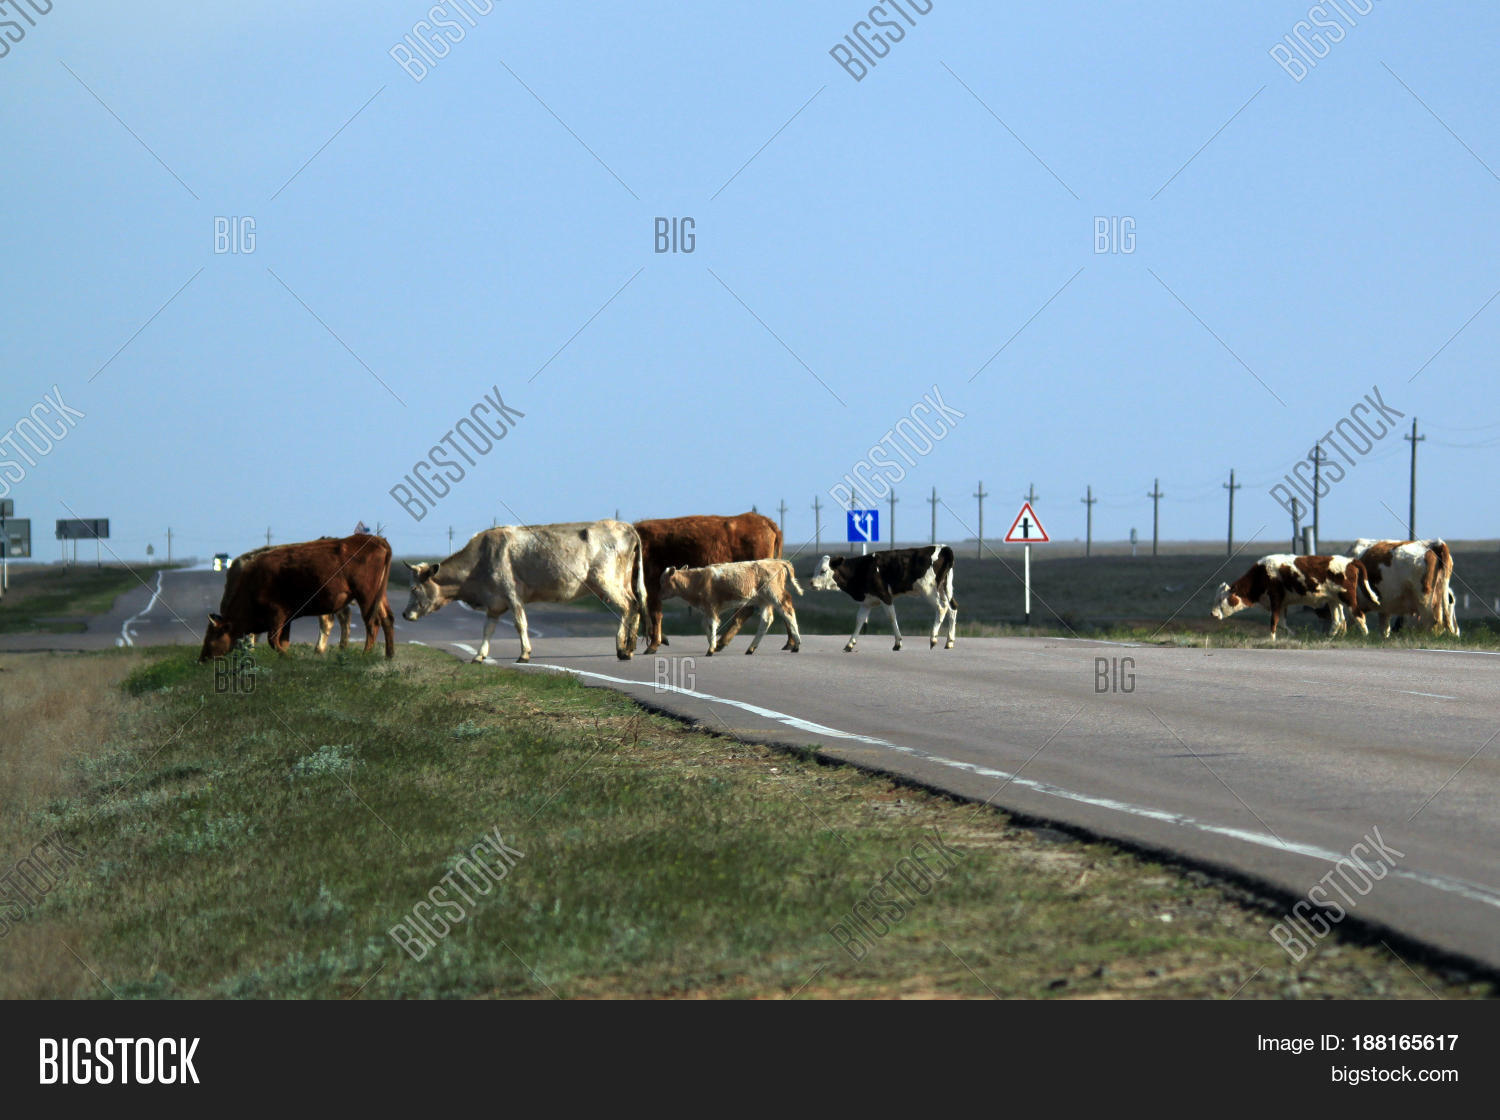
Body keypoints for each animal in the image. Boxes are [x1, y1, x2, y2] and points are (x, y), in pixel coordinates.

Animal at [201, 533, 395, 661]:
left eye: (212, 635)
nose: (202, 659)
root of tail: (376, 540)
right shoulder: (286, 618)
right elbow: (282, 640)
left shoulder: (276, 614)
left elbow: (274, 641)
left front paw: (288, 657)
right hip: (379, 596)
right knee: (387, 619)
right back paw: (389, 655)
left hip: (366, 596)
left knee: (372, 623)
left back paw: (365, 655)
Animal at [401, 519, 646, 663]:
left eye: (414, 588)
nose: (404, 614)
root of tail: (626, 526)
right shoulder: (494, 603)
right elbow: (487, 629)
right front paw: (479, 655)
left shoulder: (512, 595)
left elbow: (520, 624)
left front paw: (524, 654)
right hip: (623, 581)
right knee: (635, 605)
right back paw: (629, 649)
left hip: (607, 580)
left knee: (628, 606)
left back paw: (622, 649)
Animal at [660, 560, 803, 656]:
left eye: (663, 581)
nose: (659, 595)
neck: (697, 580)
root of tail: (776, 561)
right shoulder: (707, 609)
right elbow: (705, 625)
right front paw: (713, 645)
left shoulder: (711, 607)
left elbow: (712, 625)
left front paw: (711, 648)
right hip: (764, 601)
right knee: (766, 621)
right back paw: (751, 648)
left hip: (774, 595)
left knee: (788, 612)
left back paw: (796, 645)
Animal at [809, 546, 958, 652]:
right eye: (815, 569)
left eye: (823, 570)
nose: (811, 583)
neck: (862, 569)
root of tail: (943, 548)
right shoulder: (867, 602)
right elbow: (859, 620)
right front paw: (850, 644)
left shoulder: (885, 596)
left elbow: (892, 617)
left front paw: (898, 643)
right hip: (945, 588)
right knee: (952, 609)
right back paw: (949, 642)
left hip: (929, 589)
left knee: (942, 608)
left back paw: (933, 639)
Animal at [1210, 554, 1379, 640]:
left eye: (1220, 599)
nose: (1212, 614)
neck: (1261, 574)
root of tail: (1351, 561)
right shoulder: (1282, 604)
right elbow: (1282, 623)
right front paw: (1292, 635)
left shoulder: (1275, 599)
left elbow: (1274, 621)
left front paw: (1271, 639)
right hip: (1334, 600)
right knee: (1338, 620)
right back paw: (1331, 638)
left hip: (1347, 597)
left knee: (1358, 615)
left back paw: (1365, 637)